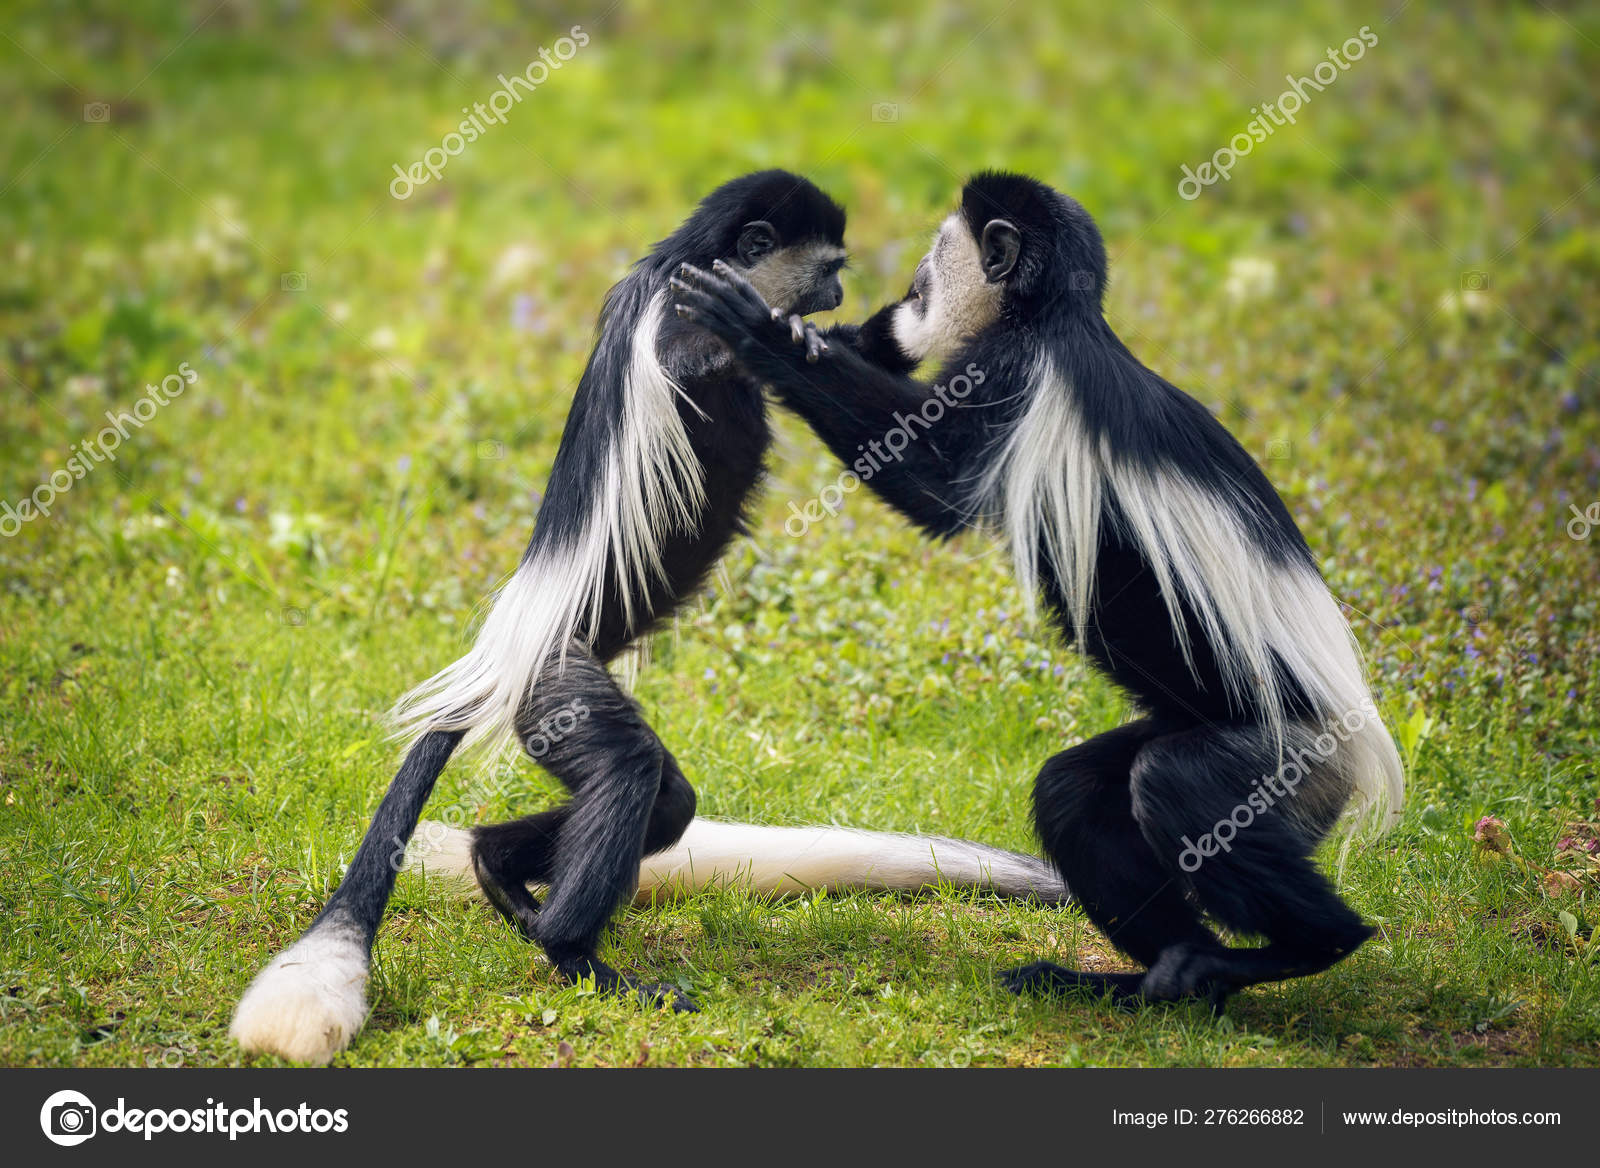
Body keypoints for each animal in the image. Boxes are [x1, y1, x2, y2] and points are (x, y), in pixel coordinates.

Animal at [230, 171, 1067, 1064]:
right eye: (830, 267)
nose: (842, 291)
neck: (680, 267)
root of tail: (500, 658)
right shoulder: (675, 328)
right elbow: (717, 358)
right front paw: (771, 337)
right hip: (558, 691)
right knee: (632, 774)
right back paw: (573, 952)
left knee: (664, 800)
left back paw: (497, 869)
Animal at [669, 170, 1405, 1012]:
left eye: (935, 253)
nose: (907, 290)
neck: (1052, 318)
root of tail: (1353, 740)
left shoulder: (1010, 379)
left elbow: (935, 487)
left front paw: (754, 330)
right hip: (1207, 736)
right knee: (1075, 793)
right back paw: (1164, 975)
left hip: (1278, 758)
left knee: (1176, 788)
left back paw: (1304, 946)